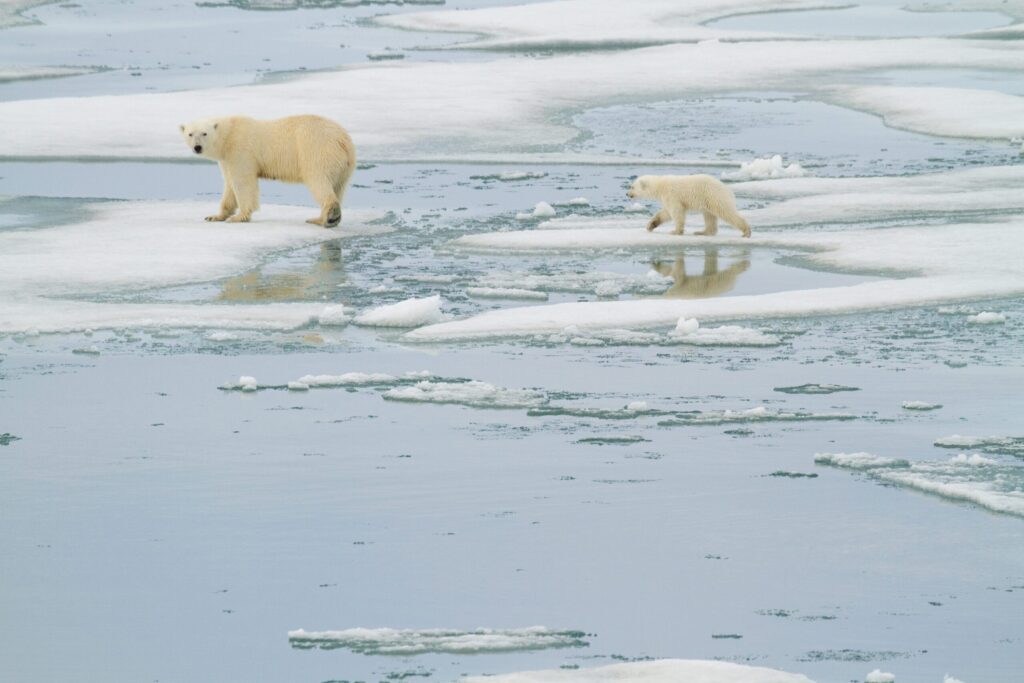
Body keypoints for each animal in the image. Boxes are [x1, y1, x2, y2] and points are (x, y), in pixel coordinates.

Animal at [179, 114, 356, 228]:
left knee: (318, 180)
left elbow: (242, 182)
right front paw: (214, 216)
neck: (229, 134)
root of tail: (343, 139)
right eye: (190, 134)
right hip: (344, 165)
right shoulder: (226, 159)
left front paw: (239, 217)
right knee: (338, 186)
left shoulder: (240, 151)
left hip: (316, 149)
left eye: (204, 133)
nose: (197, 147)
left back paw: (325, 217)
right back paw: (325, 217)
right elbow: (229, 184)